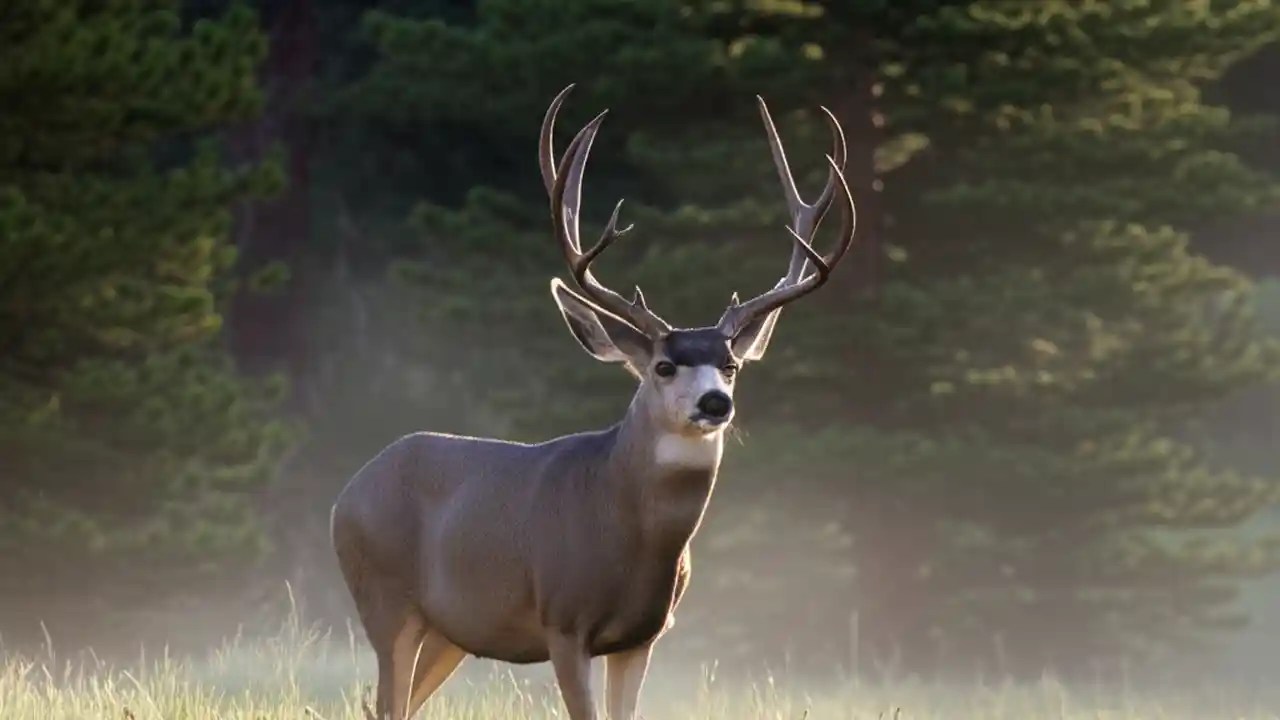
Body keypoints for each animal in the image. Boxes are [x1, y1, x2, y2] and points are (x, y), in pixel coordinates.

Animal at [330, 84, 857, 720]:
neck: (627, 530)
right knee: (385, 698)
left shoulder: (642, 635)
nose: (715, 403)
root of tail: (347, 493)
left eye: (731, 366)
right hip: (385, 600)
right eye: (663, 365)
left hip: (450, 630)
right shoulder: (563, 618)